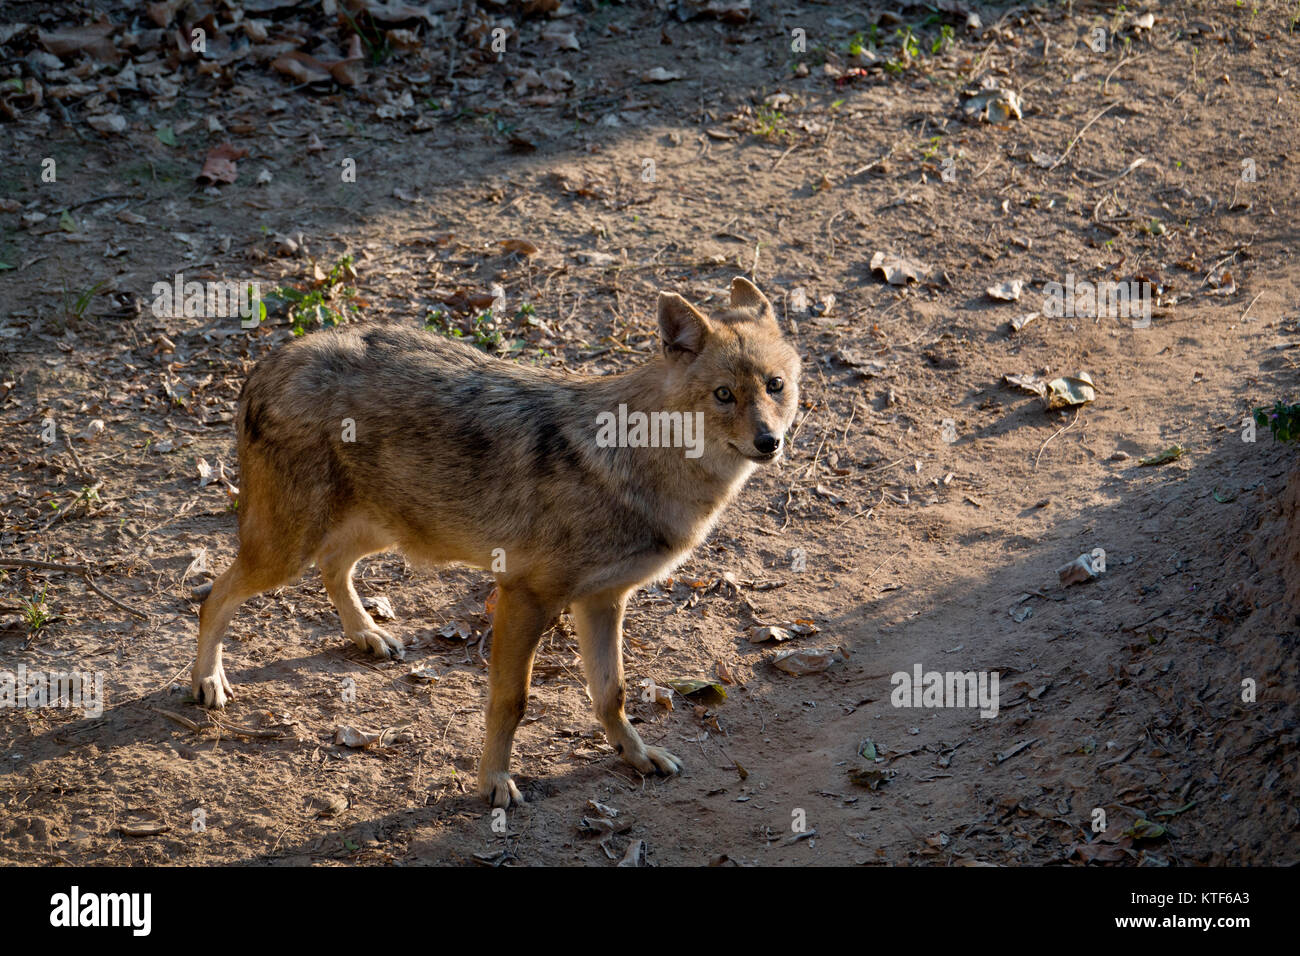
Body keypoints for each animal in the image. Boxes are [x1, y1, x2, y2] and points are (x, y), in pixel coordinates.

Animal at [192, 276, 801, 807]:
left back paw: (367, 634)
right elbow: (511, 702)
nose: (769, 442)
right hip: (287, 552)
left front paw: (637, 755)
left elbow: (612, 694)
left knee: (333, 567)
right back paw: (208, 683)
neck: (636, 460)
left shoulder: (602, 601)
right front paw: (494, 784)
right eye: (724, 395)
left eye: (775, 386)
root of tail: (269, 360)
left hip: (378, 530)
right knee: (213, 597)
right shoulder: (524, 597)